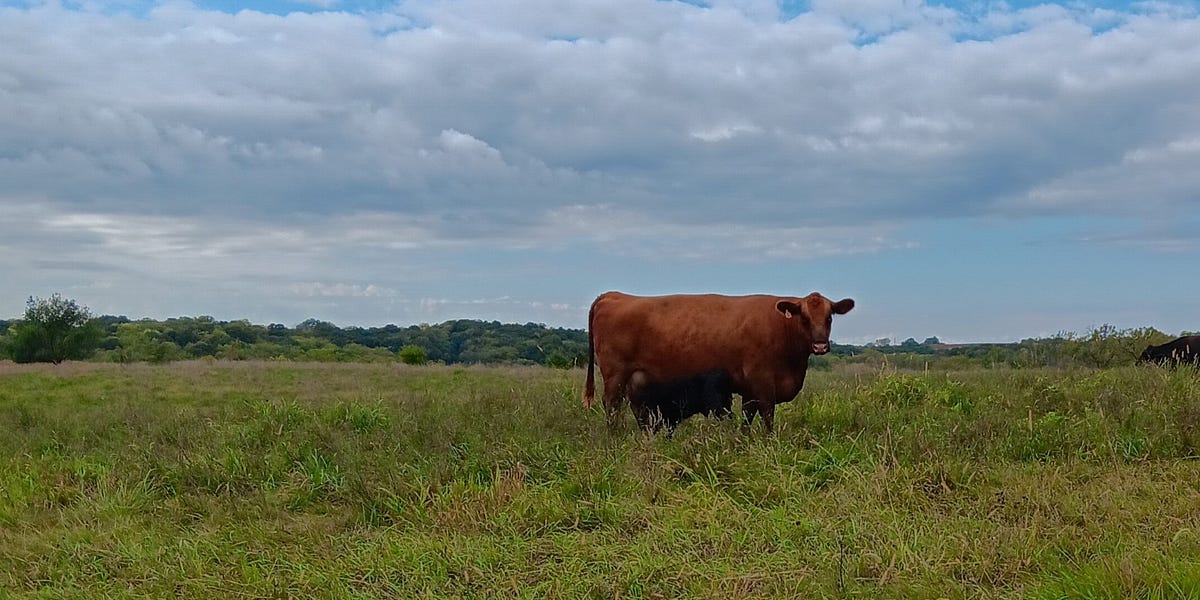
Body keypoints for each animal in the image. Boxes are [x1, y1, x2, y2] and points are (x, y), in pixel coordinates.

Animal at [583, 291, 855, 433]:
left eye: (829, 317)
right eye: (805, 318)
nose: (820, 346)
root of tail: (615, 296)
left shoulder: (749, 389)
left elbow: (747, 417)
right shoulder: (762, 383)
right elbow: (767, 417)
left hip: (634, 380)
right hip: (615, 375)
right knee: (612, 406)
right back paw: (614, 437)